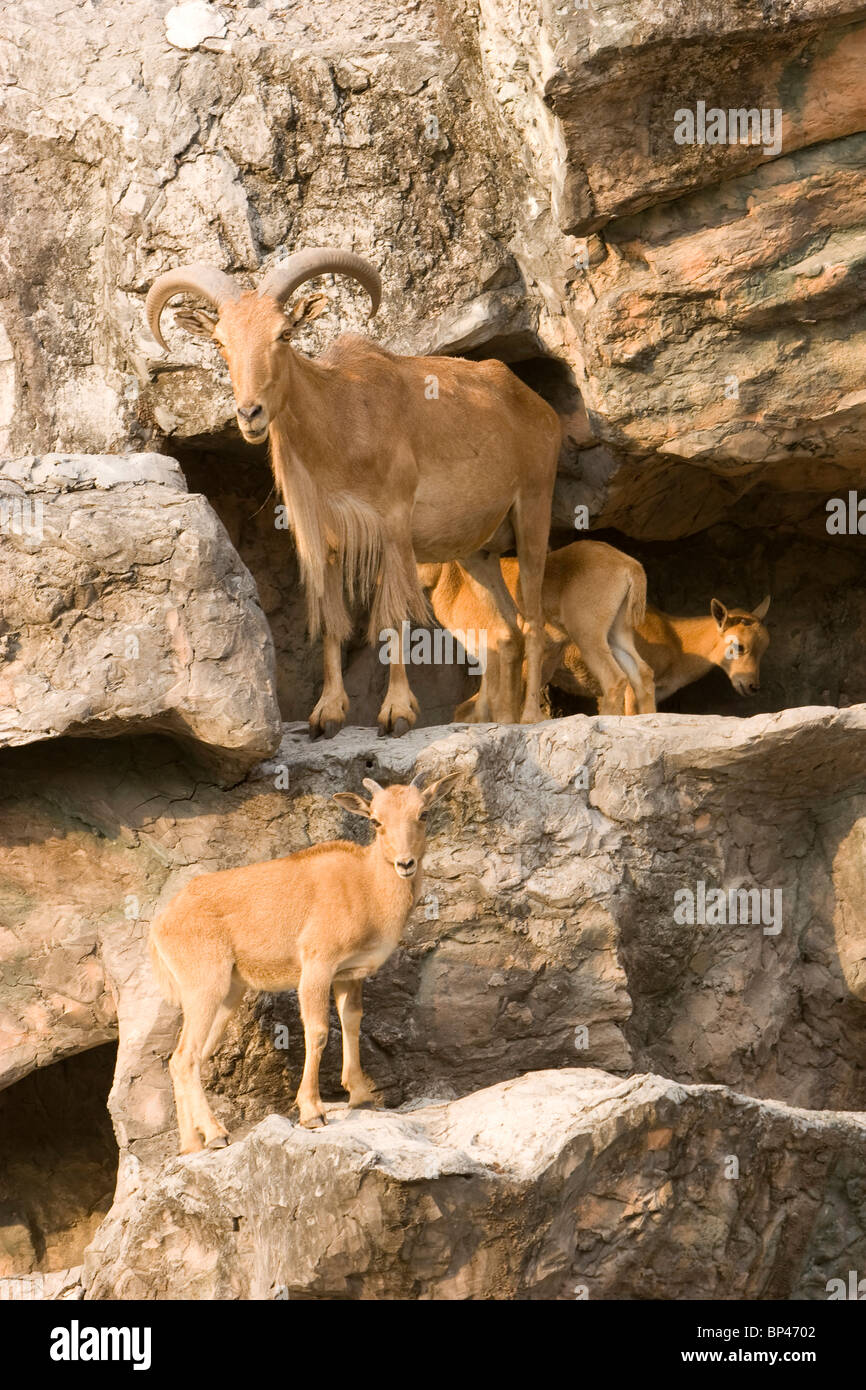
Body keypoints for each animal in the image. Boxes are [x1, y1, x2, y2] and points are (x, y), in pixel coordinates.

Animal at [145, 251, 560, 737]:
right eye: (220, 341)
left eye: (284, 334)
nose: (250, 413)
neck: (340, 420)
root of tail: (538, 405)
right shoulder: (324, 540)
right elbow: (331, 623)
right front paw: (327, 713)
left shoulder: (393, 528)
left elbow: (392, 619)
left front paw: (396, 713)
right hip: (477, 551)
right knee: (507, 629)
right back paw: (507, 721)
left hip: (534, 512)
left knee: (534, 619)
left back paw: (531, 717)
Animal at [148, 770, 460, 1152]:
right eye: (376, 820)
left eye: (423, 814)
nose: (405, 864)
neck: (366, 887)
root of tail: (161, 924)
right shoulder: (317, 965)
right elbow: (318, 1031)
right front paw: (312, 1111)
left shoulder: (348, 974)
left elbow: (352, 1021)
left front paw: (361, 1096)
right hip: (204, 986)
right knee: (184, 1057)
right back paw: (216, 1133)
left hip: (228, 993)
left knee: (191, 1058)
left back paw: (192, 1143)